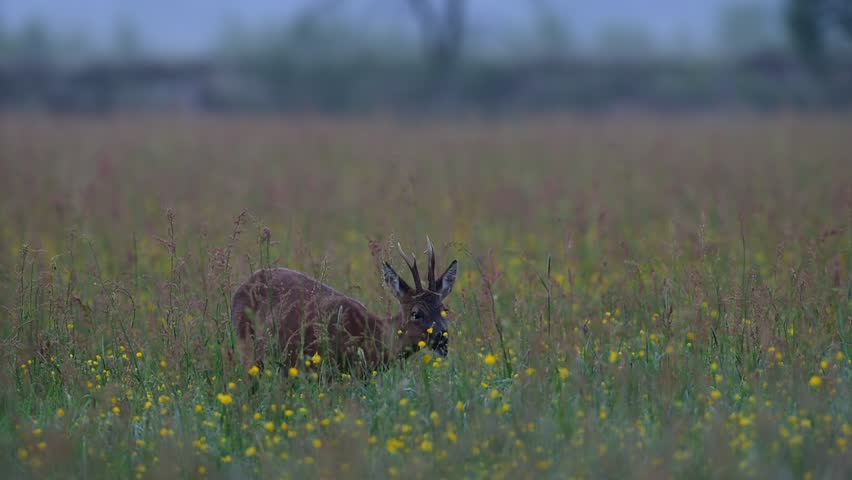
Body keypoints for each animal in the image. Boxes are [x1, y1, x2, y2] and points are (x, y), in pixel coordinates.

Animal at [230, 237, 458, 376]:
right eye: (415, 313)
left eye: (444, 309)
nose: (443, 336)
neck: (374, 336)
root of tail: (240, 287)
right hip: (247, 345)